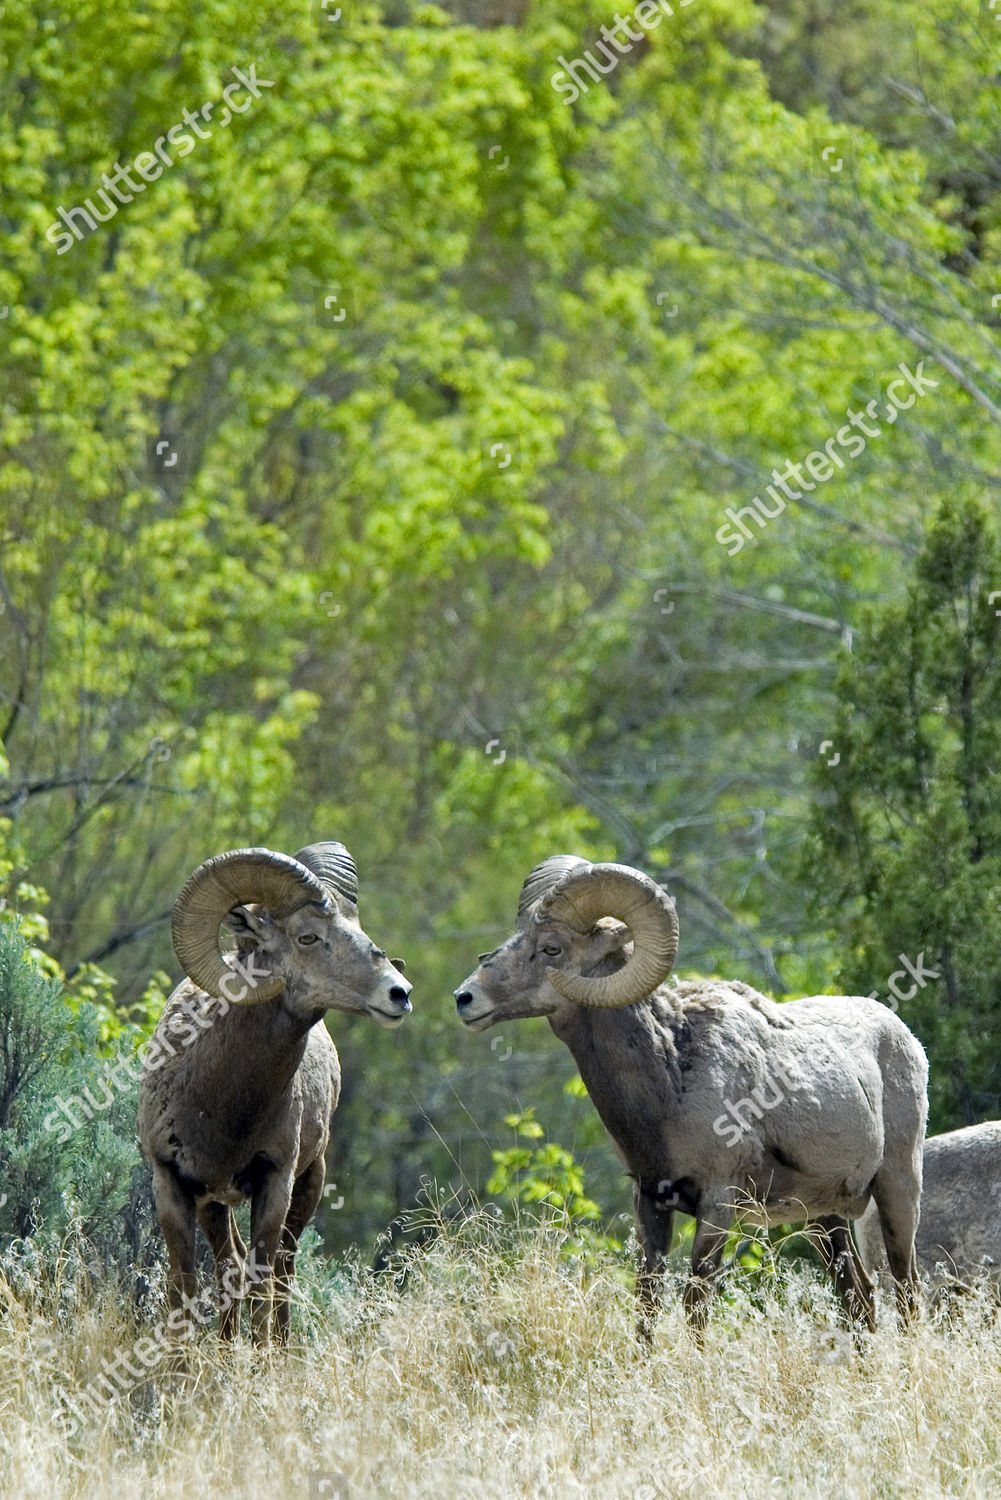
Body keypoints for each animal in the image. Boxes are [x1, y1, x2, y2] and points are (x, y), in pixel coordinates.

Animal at [137, 841, 412, 1345]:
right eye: (307, 937)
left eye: (357, 926)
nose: (399, 993)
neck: (219, 1106)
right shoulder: (172, 1185)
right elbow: (183, 1290)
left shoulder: (275, 1182)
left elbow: (262, 1286)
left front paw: (263, 1360)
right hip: (216, 1205)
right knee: (229, 1265)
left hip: (310, 1181)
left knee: (281, 1272)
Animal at [454, 856, 928, 1342]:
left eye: (552, 948)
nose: (465, 999)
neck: (671, 1083)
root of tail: (904, 1036)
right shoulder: (650, 1203)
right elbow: (646, 1307)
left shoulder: (717, 1205)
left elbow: (694, 1309)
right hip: (824, 1219)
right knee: (860, 1298)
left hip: (897, 1190)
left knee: (906, 1292)